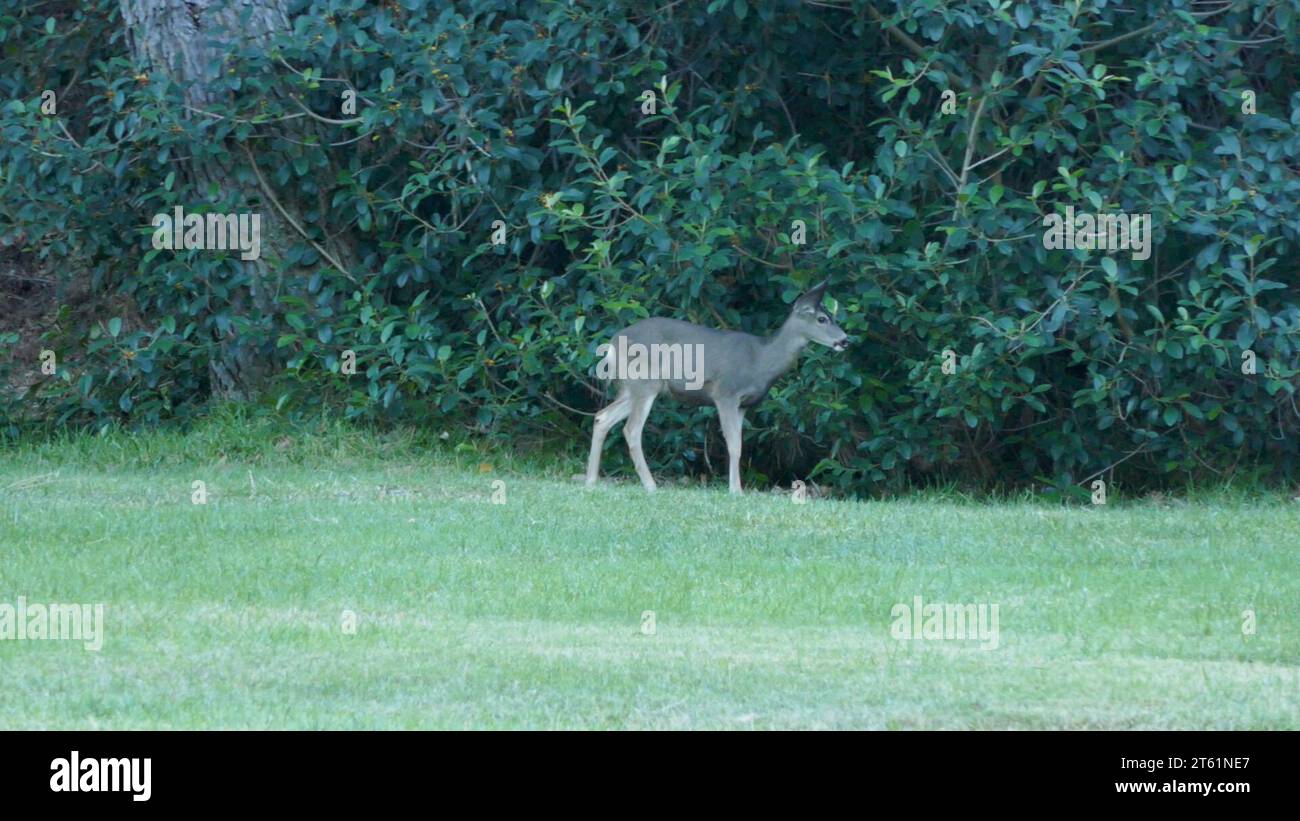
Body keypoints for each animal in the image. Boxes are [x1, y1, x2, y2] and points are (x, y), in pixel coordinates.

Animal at [585, 280, 850, 494]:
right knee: (631, 429)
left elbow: (739, 446)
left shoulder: (743, 405)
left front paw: (736, 488)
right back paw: (650, 486)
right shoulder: (726, 394)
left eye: (833, 316)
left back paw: (591, 480)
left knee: (603, 416)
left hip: (635, 387)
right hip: (645, 381)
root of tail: (611, 344)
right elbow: (733, 445)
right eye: (822, 319)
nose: (845, 340)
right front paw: (735, 490)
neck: (761, 360)